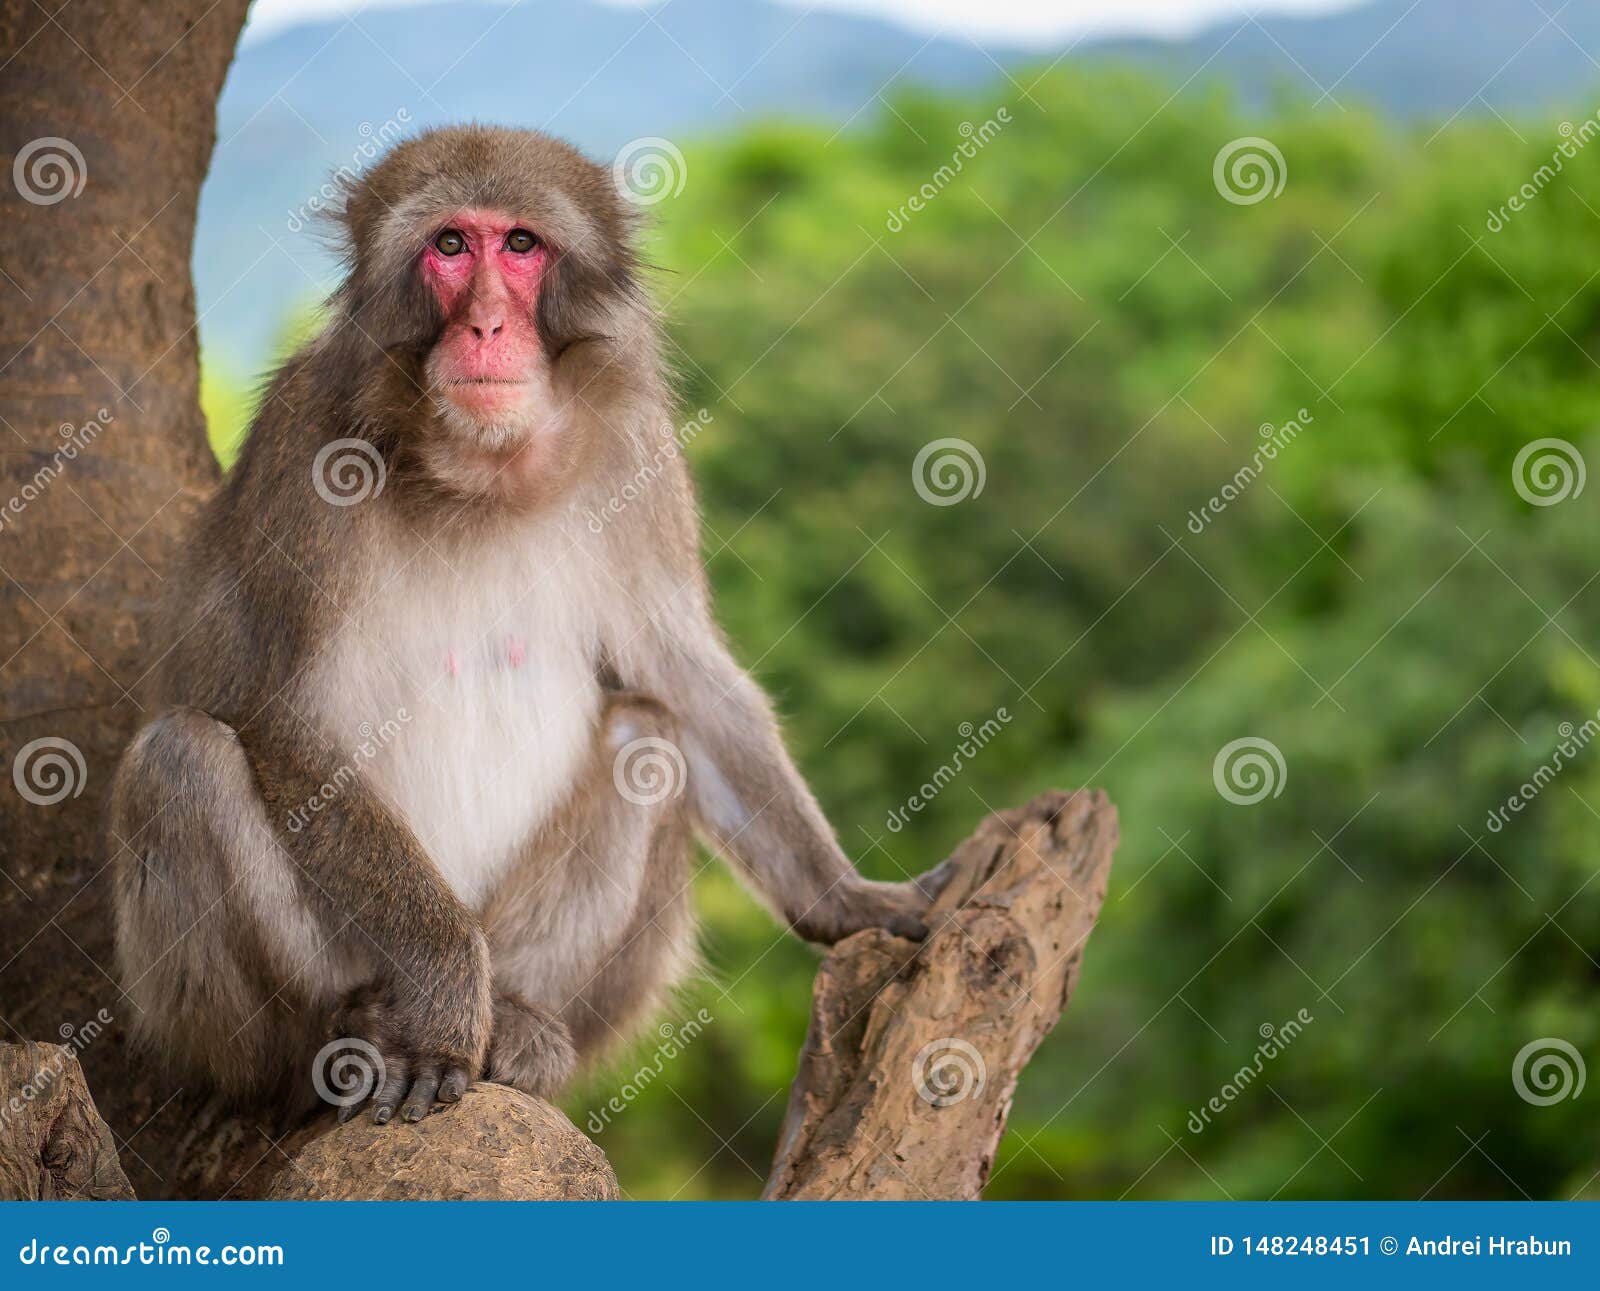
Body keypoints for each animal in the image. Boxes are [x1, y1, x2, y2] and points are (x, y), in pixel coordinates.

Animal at [108, 125, 950, 1126]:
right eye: (449, 245)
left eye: (519, 245)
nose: (484, 326)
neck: (482, 468)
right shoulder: (301, 447)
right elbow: (289, 724)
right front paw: (443, 999)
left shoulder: (639, 453)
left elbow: (683, 676)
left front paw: (847, 897)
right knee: (182, 759)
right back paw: (337, 1037)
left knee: (645, 734)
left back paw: (519, 1023)